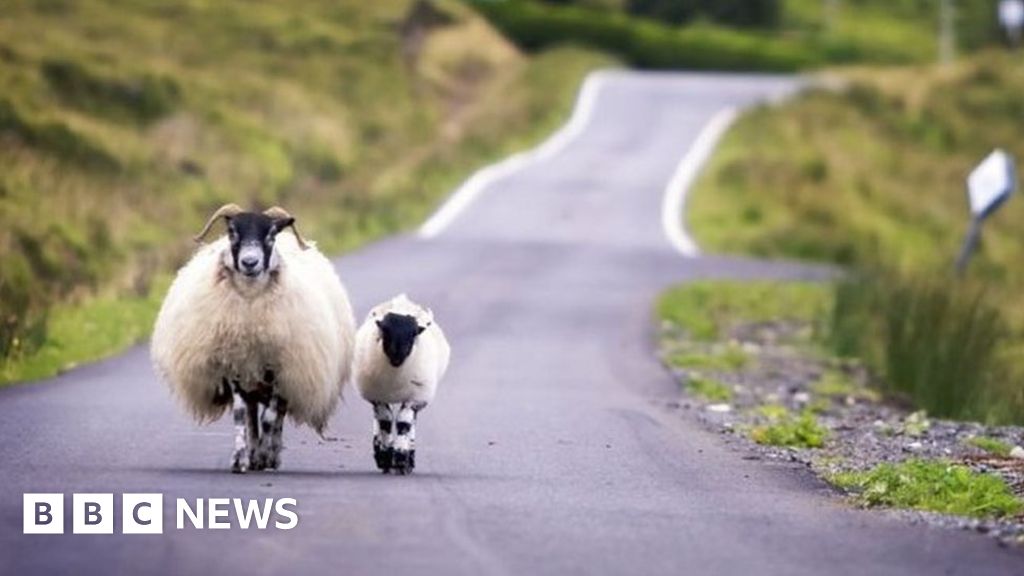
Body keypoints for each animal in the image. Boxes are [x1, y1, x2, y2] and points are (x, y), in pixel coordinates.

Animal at [150, 203, 356, 473]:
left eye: (271, 235)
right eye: (232, 232)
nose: (250, 262)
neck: (249, 307)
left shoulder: (280, 368)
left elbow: (269, 418)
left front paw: (265, 456)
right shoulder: (234, 364)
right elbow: (241, 416)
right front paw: (241, 458)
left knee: (276, 415)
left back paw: (270, 453)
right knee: (250, 414)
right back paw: (254, 450)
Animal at [353, 294, 450, 474]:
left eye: (413, 334)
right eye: (385, 331)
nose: (397, 354)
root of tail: (402, 301)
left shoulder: (414, 397)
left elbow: (404, 422)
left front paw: (400, 457)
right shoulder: (378, 396)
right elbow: (385, 420)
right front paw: (385, 456)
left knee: (410, 421)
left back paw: (408, 459)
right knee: (378, 418)